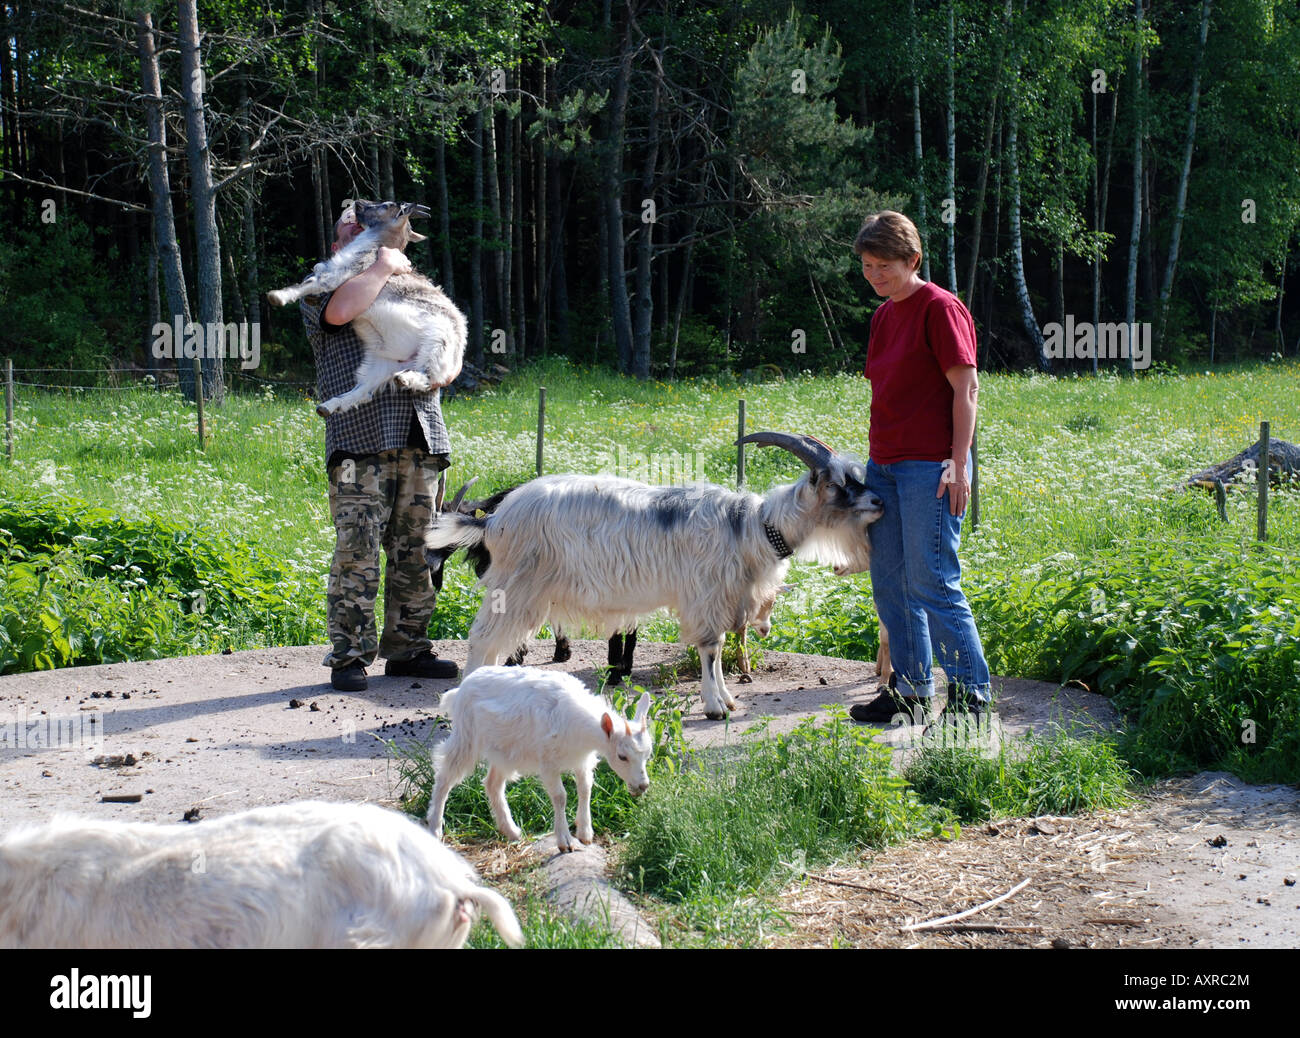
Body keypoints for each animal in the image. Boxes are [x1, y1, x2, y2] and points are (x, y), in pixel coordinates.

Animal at [267, 199, 466, 417]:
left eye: (386, 205)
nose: (357, 202)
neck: (376, 244)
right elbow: (315, 278)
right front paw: (309, 296)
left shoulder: (348, 269)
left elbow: (316, 282)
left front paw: (278, 296)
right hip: (381, 365)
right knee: (364, 391)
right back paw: (328, 406)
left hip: (438, 345)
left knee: (429, 378)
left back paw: (405, 379)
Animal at [425, 431, 883, 719]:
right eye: (838, 484)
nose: (879, 501)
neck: (750, 526)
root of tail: (493, 520)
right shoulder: (705, 597)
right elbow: (711, 650)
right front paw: (715, 707)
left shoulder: (720, 600)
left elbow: (719, 651)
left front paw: (729, 699)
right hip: (516, 586)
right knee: (483, 638)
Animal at [427, 667, 652, 853]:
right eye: (622, 756)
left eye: (648, 754)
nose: (643, 785)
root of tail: (461, 688)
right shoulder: (548, 762)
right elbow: (560, 797)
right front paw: (565, 841)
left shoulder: (582, 760)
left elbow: (586, 788)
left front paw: (585, 833)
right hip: (466, 737)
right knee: (445, 776)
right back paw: (435, 827)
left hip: (504, 752)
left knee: (492, 784)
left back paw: (511, 831)